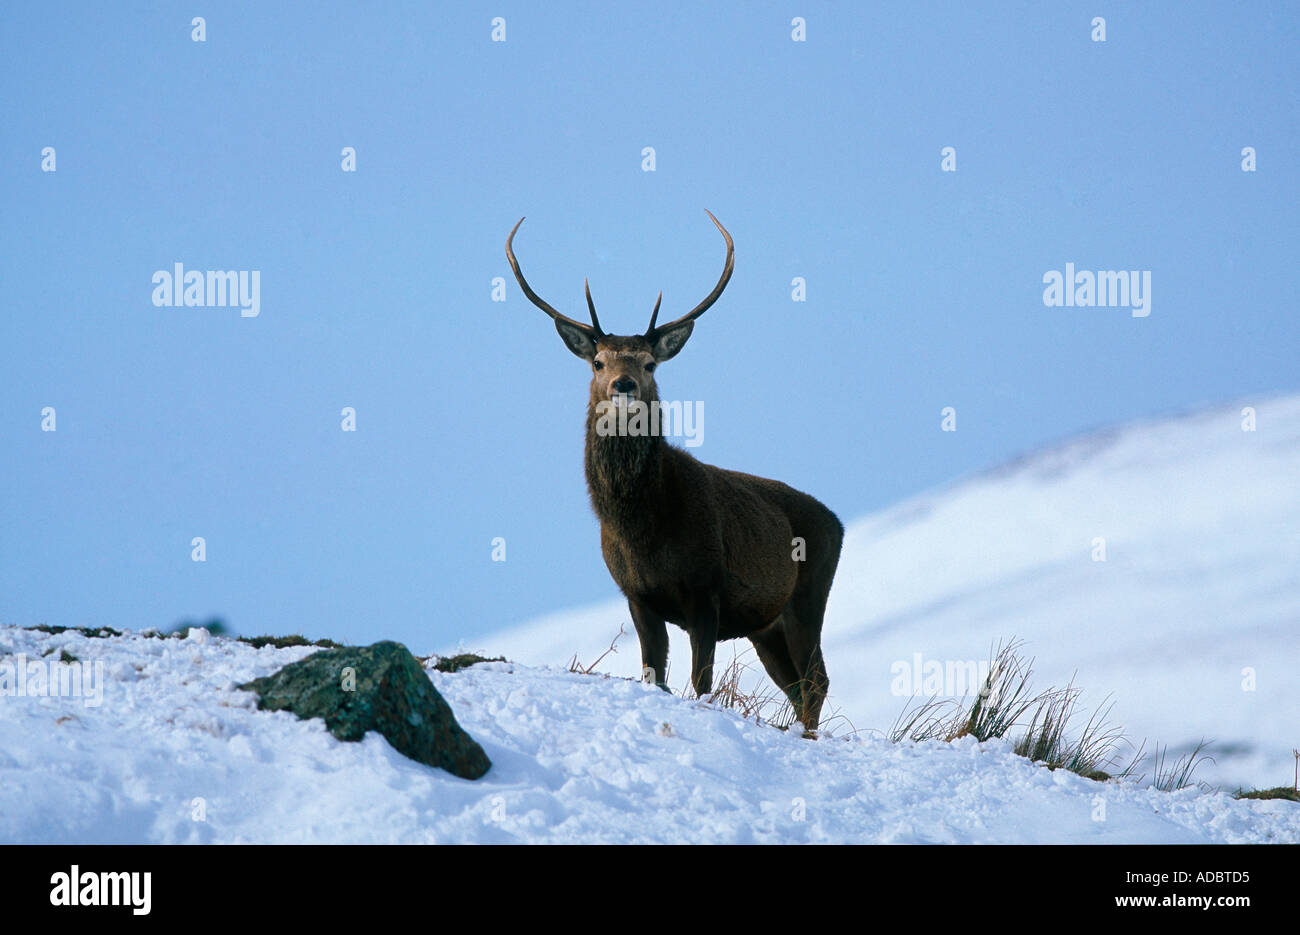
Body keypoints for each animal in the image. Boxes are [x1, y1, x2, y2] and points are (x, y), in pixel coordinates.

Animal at [506, 211, 843, 731]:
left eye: (649, 362)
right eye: (597, 361)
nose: (623, 384)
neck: (641, 530)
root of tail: (839, 523)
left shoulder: (706, 592)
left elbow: (701, 683)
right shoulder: (637, 596)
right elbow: (655, 676)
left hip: (808, 595)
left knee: (816, 680)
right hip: (766, 626)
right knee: (798, 684)